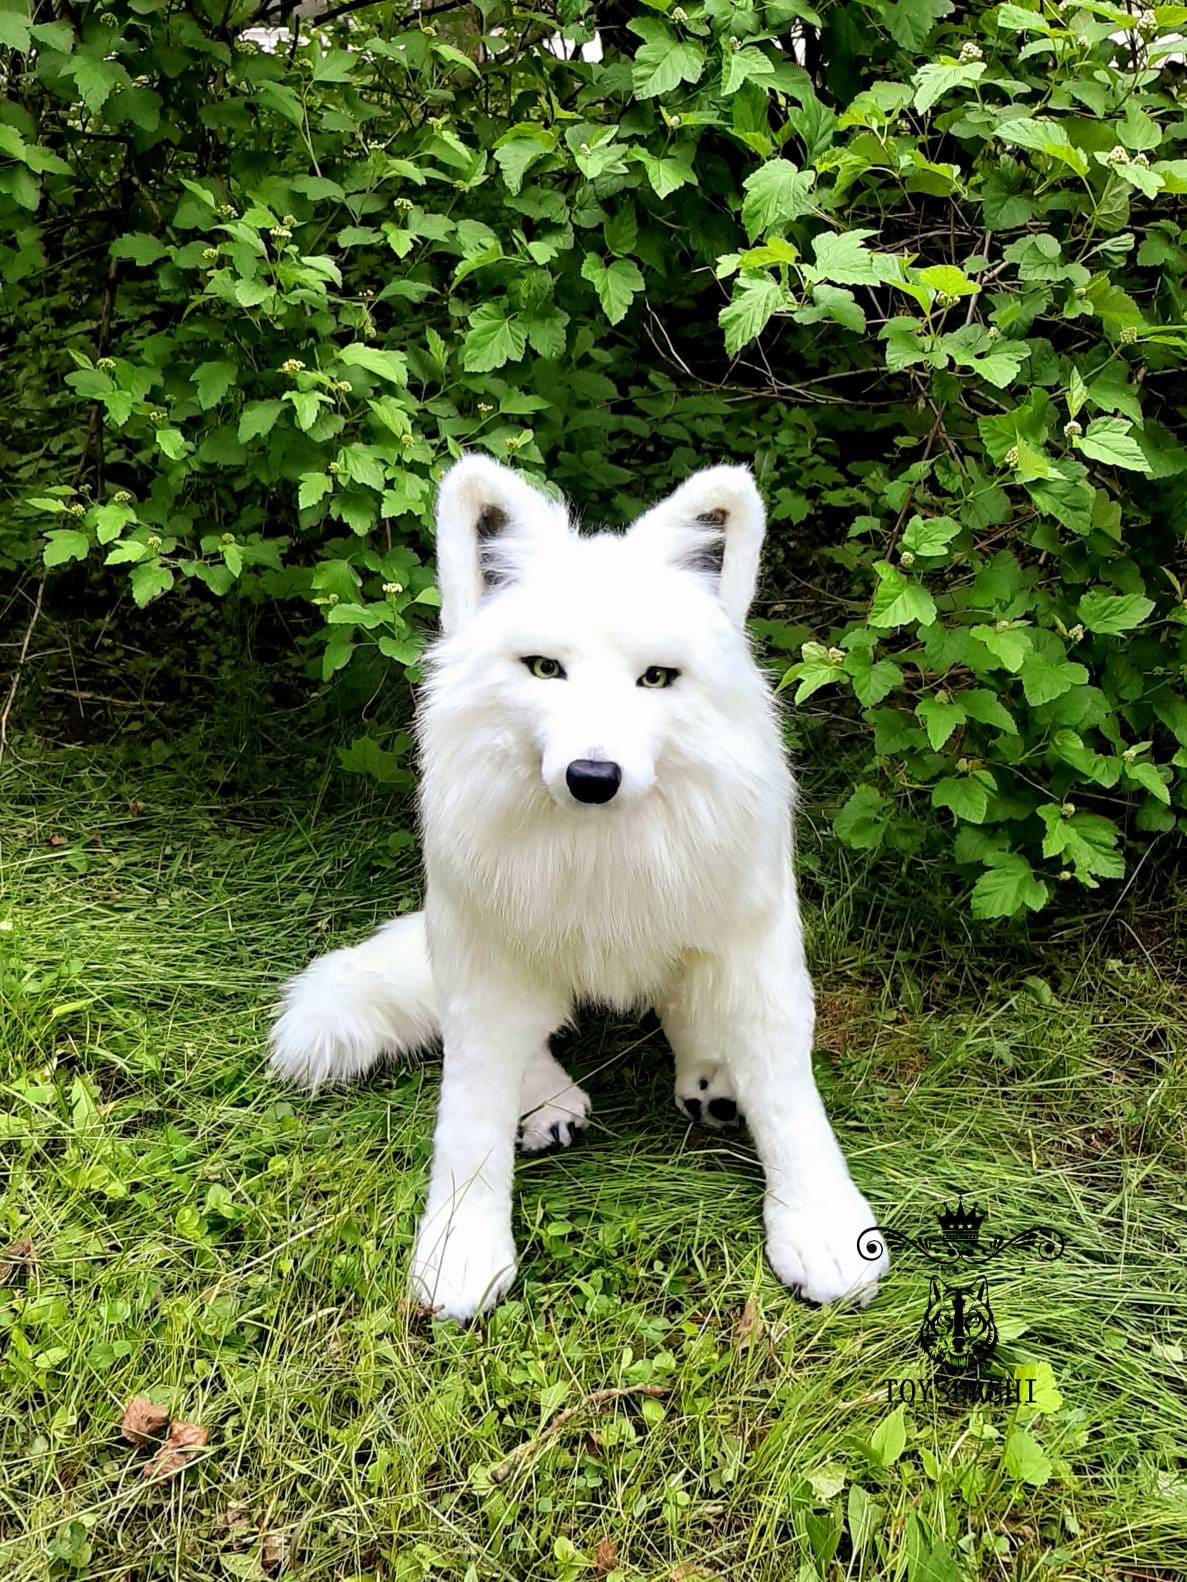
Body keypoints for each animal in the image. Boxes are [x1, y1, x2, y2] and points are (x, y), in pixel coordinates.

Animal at [269, 455, 888, 1321]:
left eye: (655, 679)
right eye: (544, 669)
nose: (592, 778)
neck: (601, 856)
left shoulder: (753, 949)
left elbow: (790, 1098)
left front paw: (825, 1228)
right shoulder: (488, 963)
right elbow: (469, 1119)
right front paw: (461, 1248)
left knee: (689, 1013)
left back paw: (711, 1081)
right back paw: (548, 1104)